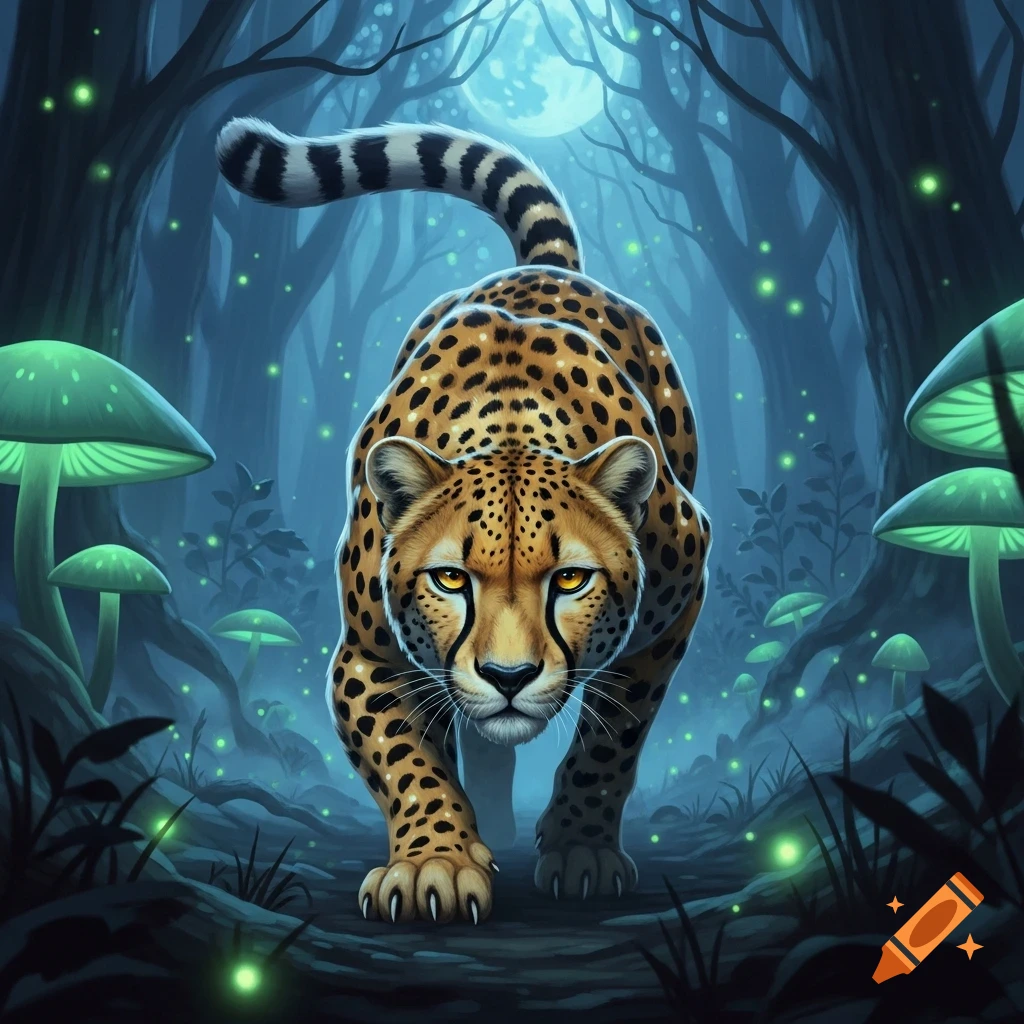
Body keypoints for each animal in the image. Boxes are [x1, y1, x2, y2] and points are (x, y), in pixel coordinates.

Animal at [216, 117, 711, 926]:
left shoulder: (676, 606)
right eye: (449, 579)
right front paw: (435, 862)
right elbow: (404, 757)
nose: (508, 676)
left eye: (570, 580)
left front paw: (579, 846)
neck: (510, 428)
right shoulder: (367, 655)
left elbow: (613, 739)